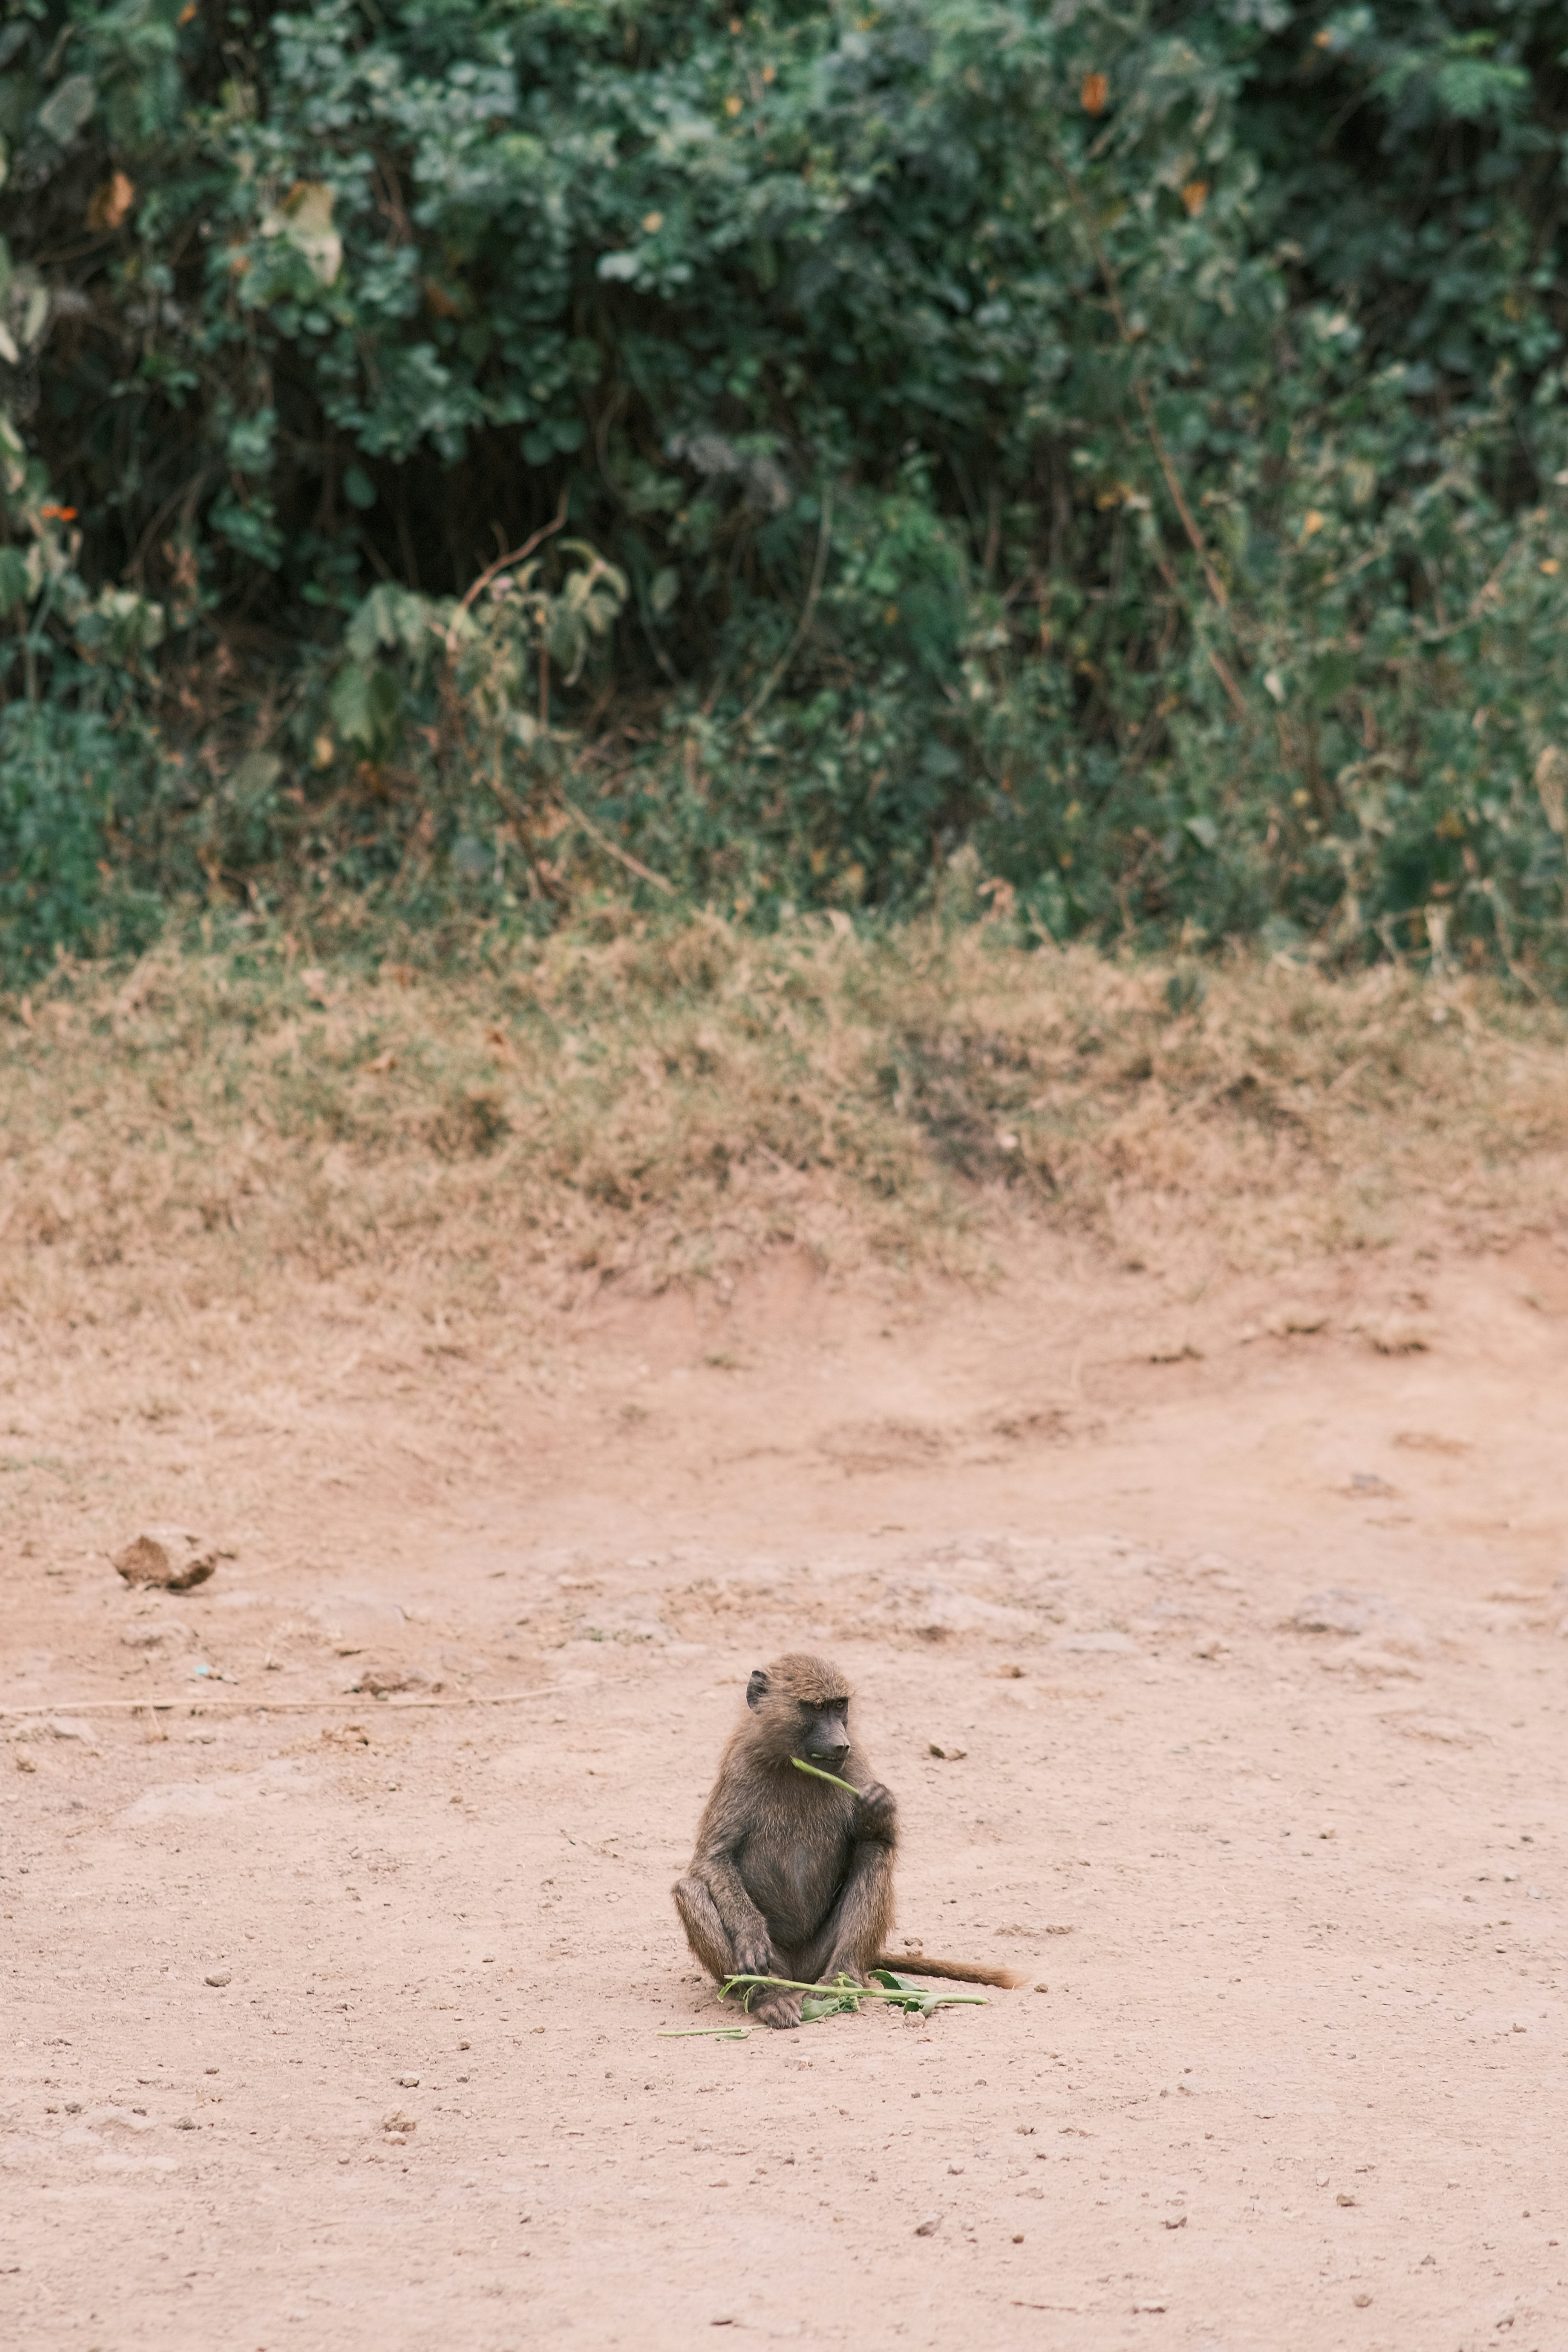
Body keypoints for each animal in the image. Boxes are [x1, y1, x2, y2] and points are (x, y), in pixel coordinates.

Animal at [672, 1651, 1026, 2029]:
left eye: (840, 1706)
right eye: (816, 1707)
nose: (841, 1742)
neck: (794, 1765)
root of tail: (800, 1973)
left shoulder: (854, 1764)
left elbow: (882, 1838)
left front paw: (880, 1804)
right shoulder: (741, 1767)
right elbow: (713, 1859)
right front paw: (751, 1938)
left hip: (821, 1956)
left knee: (875, 1855)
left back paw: (842, 1982)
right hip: (777, 1965)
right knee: (689, 1890)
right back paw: (769, 1996)